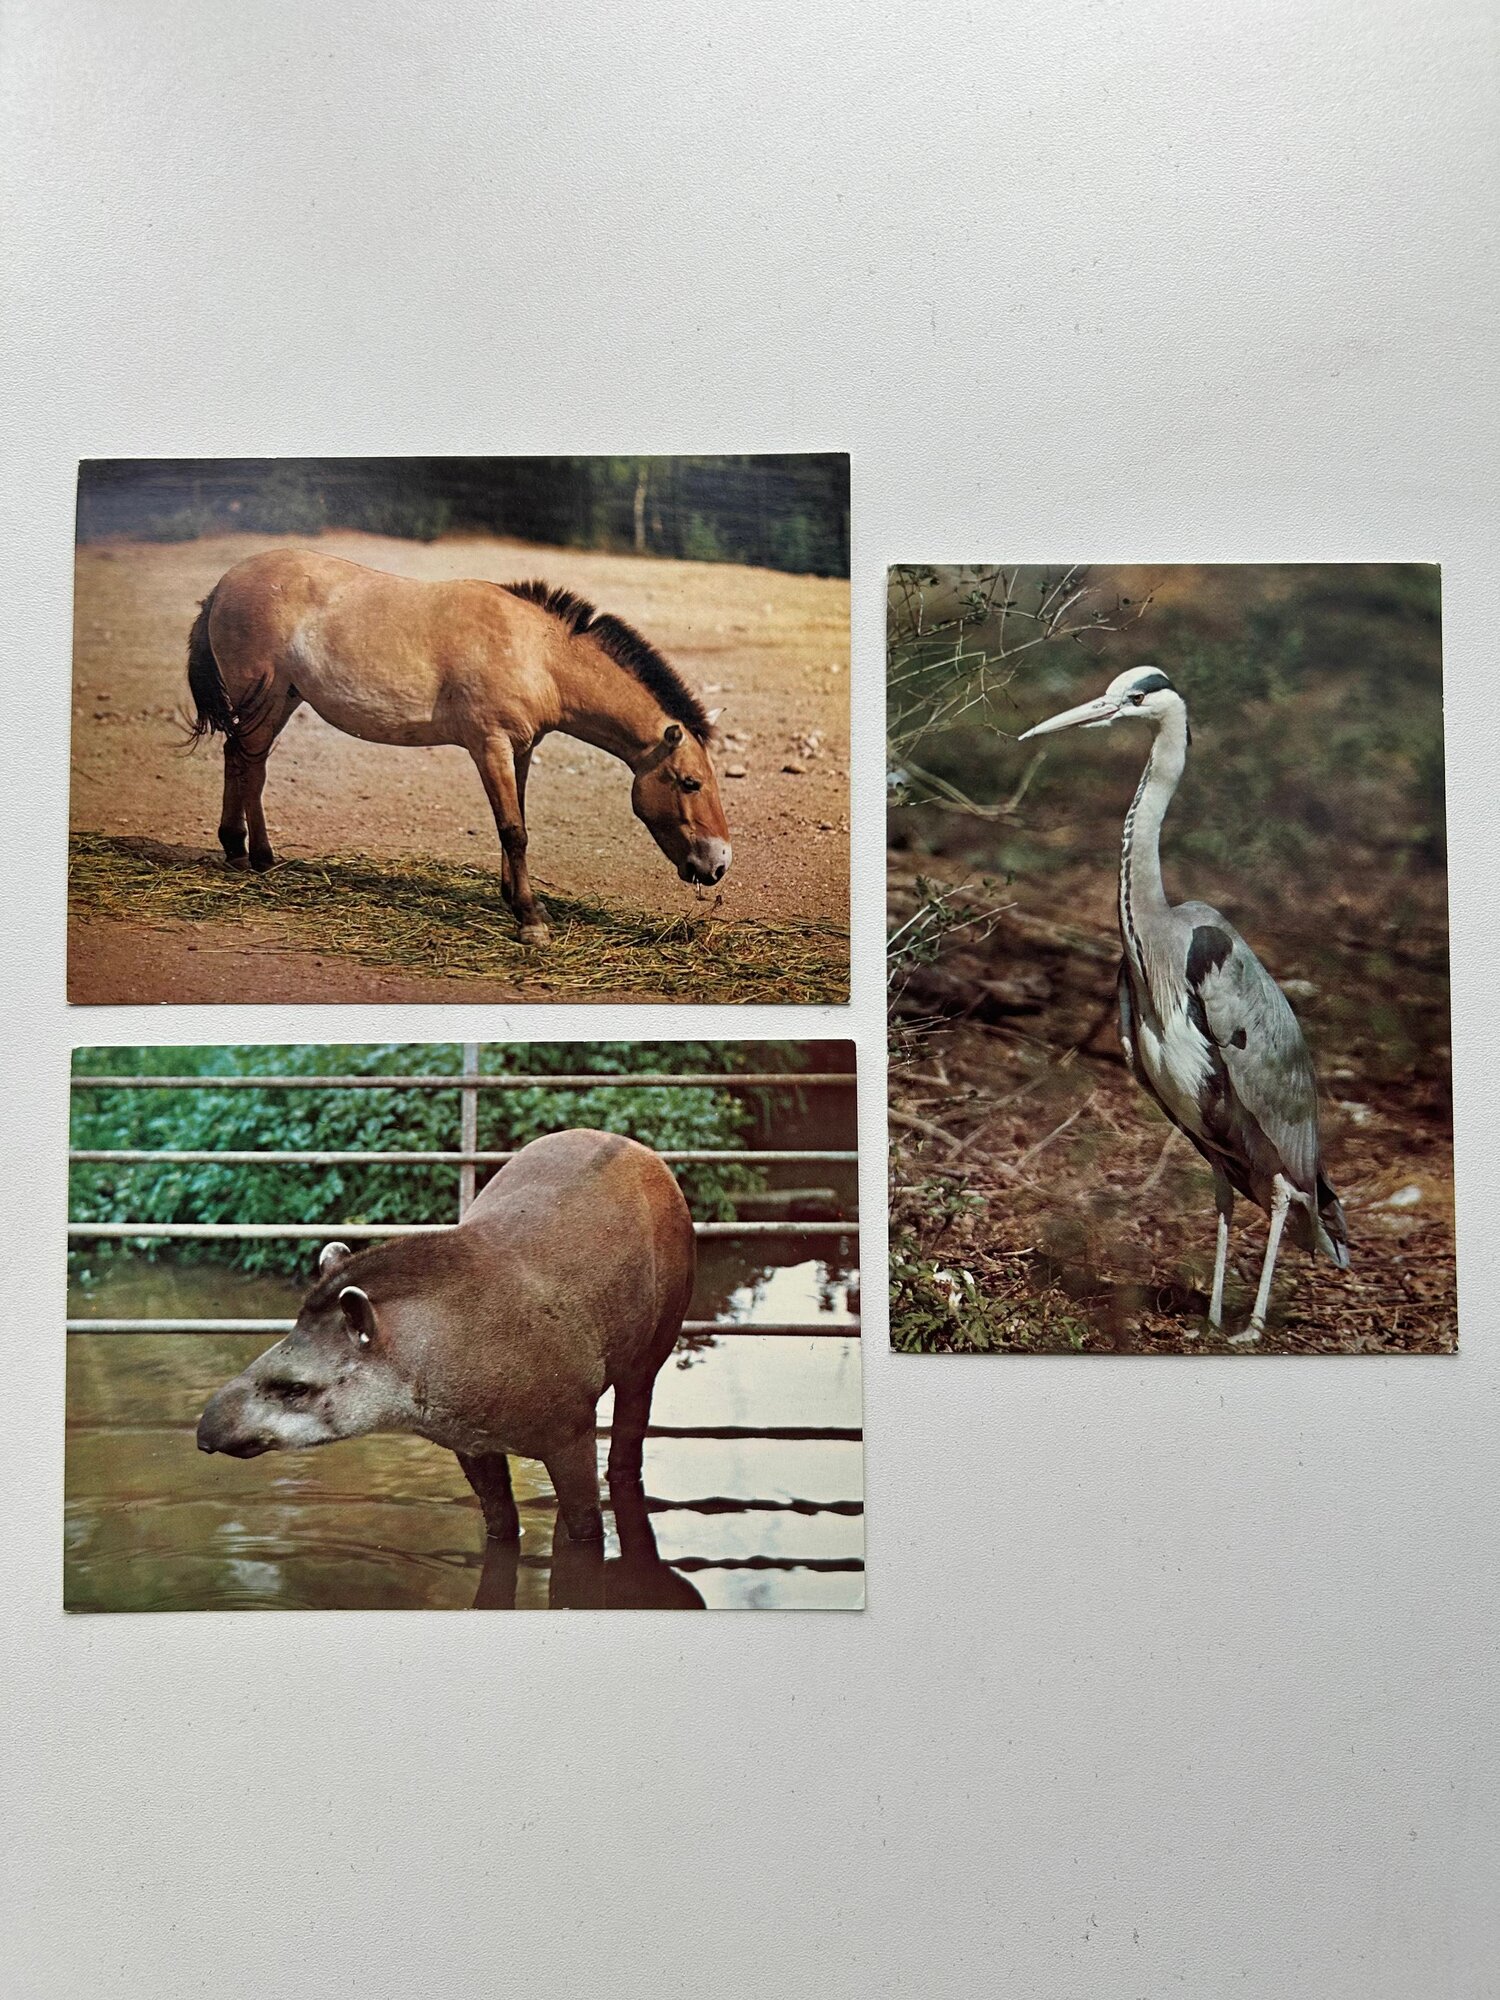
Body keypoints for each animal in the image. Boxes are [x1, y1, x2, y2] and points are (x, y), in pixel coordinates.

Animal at [184, 548, 732, 942]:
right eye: (690, 782)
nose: (719, 866)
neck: (536, 654)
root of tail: (225, 583)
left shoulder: (520, 749)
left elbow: (517, 824)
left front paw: (519, 901)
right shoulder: (490, 745)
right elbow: (513, 830)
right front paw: (531, 921)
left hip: (281, 701)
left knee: (248, 765)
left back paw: (255, 856)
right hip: (263, 700)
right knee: (246, 764)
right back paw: (243, 854)